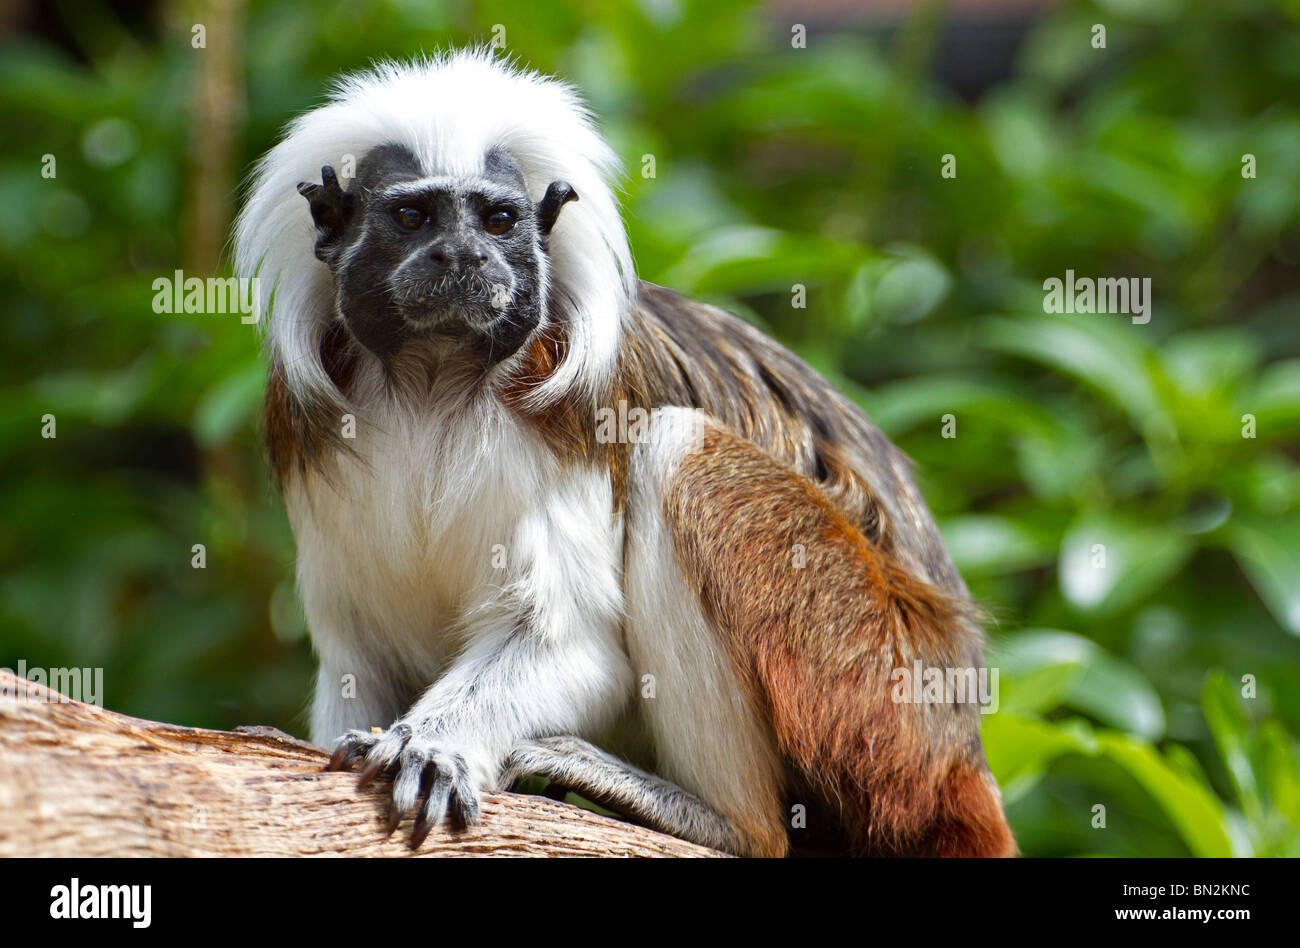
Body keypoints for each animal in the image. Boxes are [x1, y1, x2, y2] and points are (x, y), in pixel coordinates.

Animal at [234, 49, 1016, 858]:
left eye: (498, 220)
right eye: (413, 217)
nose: (464, 255)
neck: (433, 379)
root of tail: (960, 736)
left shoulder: (576, 417)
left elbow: (576, 651)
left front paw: (434, 745)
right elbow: (359, 663)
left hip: (881, 692)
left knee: (680, 450)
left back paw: (714, 818)